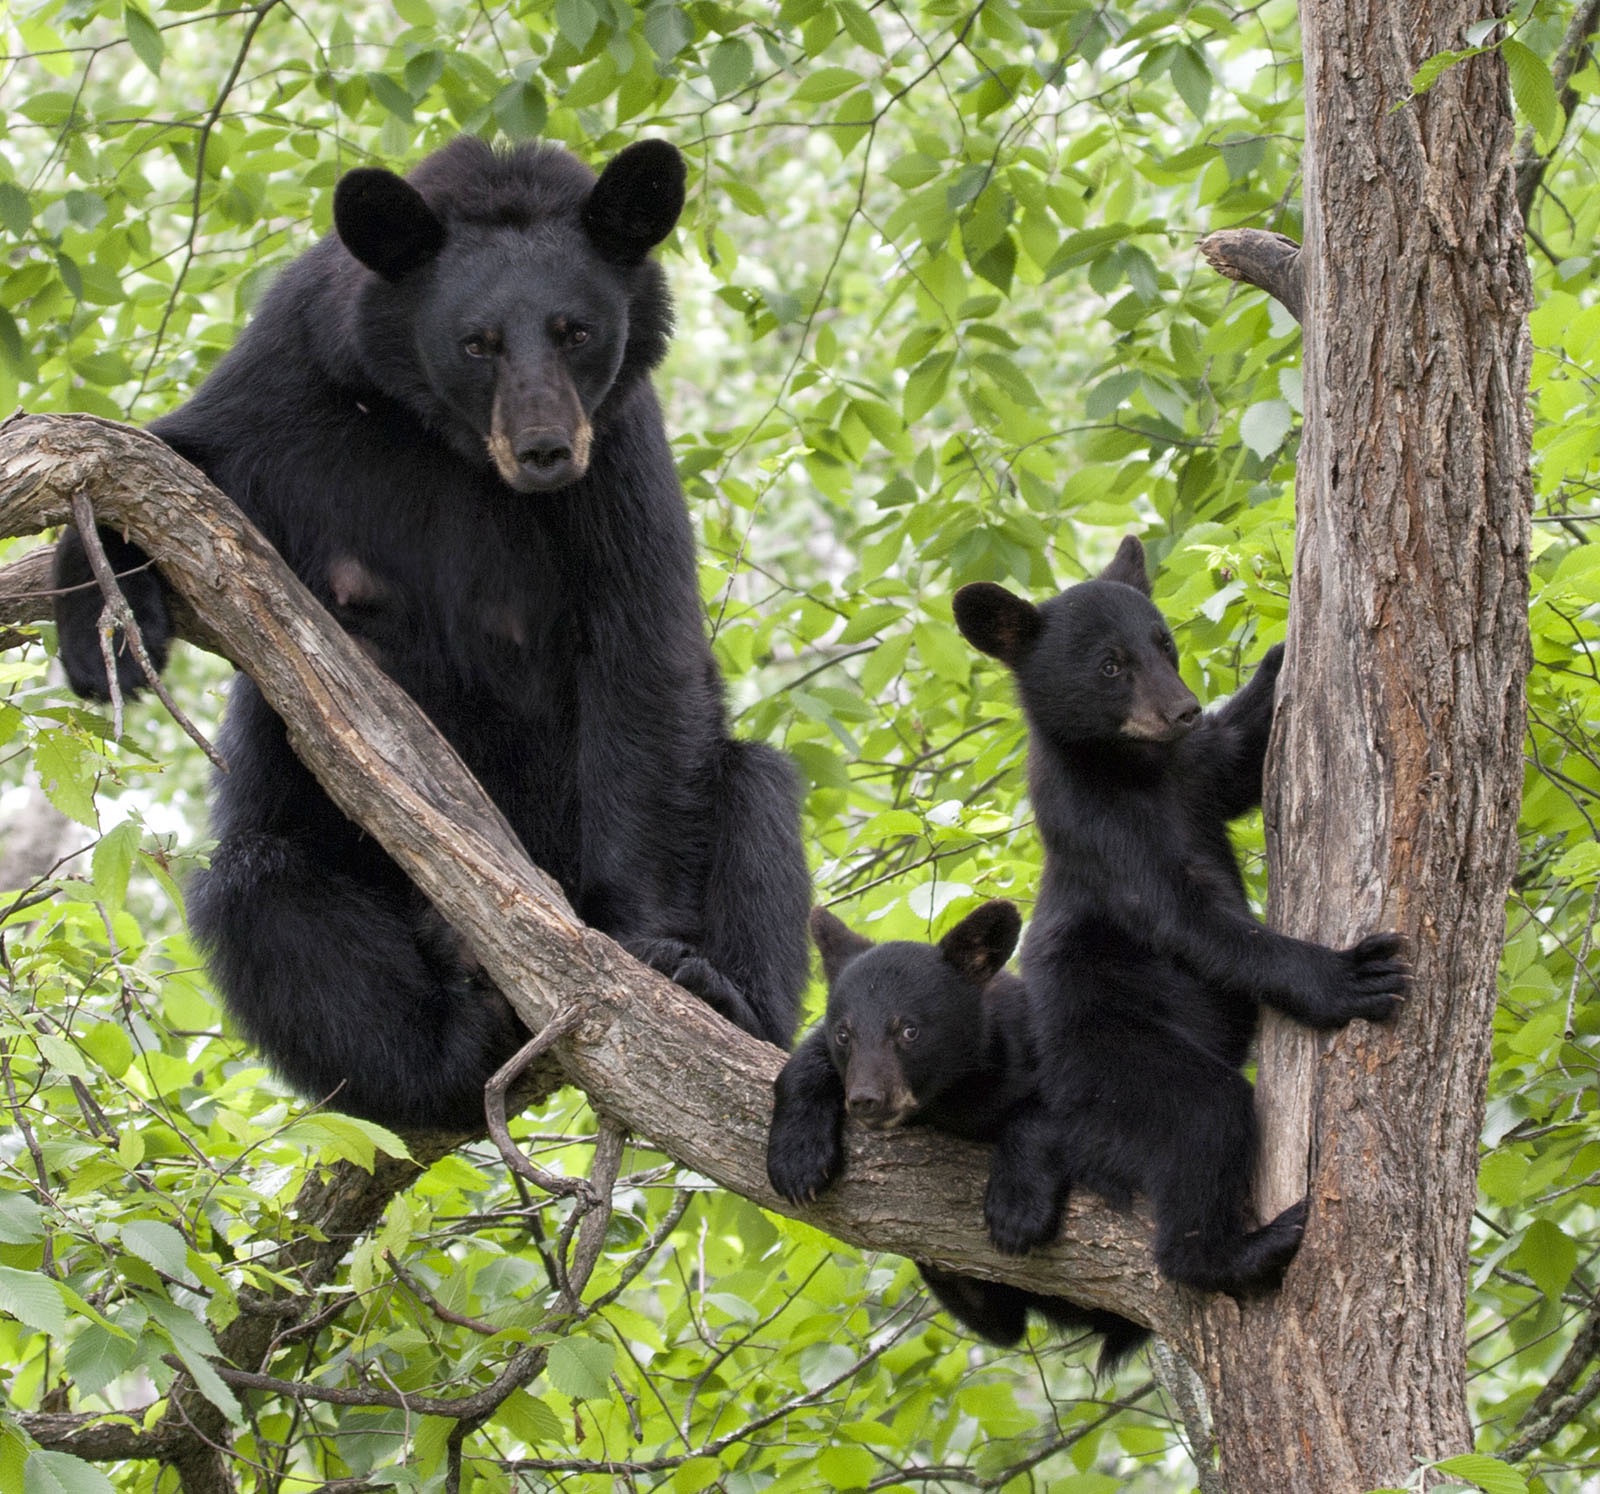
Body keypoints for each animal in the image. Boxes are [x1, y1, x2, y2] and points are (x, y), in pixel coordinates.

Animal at [52, 137, 812, 1131]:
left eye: (575, 331)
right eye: (476, 341)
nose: (544, 450)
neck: (446, 439)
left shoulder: (620, 456)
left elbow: (643, 657)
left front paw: (650, 955)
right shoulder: (292, 375)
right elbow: (168, 458)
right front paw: (96, 627)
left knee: (755, 792)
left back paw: (728, 998)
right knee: (262, 894)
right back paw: (449, 1047)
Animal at [766, 901, 1148, 1371]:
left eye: (909, 1030)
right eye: (845, 1033)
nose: (866, 1100)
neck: (952, 1096)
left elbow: (1055, 1114)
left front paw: (1016, 1212)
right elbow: (805, 1062)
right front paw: (797, 1160)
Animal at [951, 535, 1409, 1292]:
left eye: (1163, 644)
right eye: (1111, 665)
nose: (1185, 708)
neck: (1137, 770)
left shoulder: (1195, 774)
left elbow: (1241, 758)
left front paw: (1282, 650)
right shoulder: (1102, 832)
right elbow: (1192, 920)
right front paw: (1346, 976)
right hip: (1112, 1064)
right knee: (1204, 1118)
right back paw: (1239, 1250)